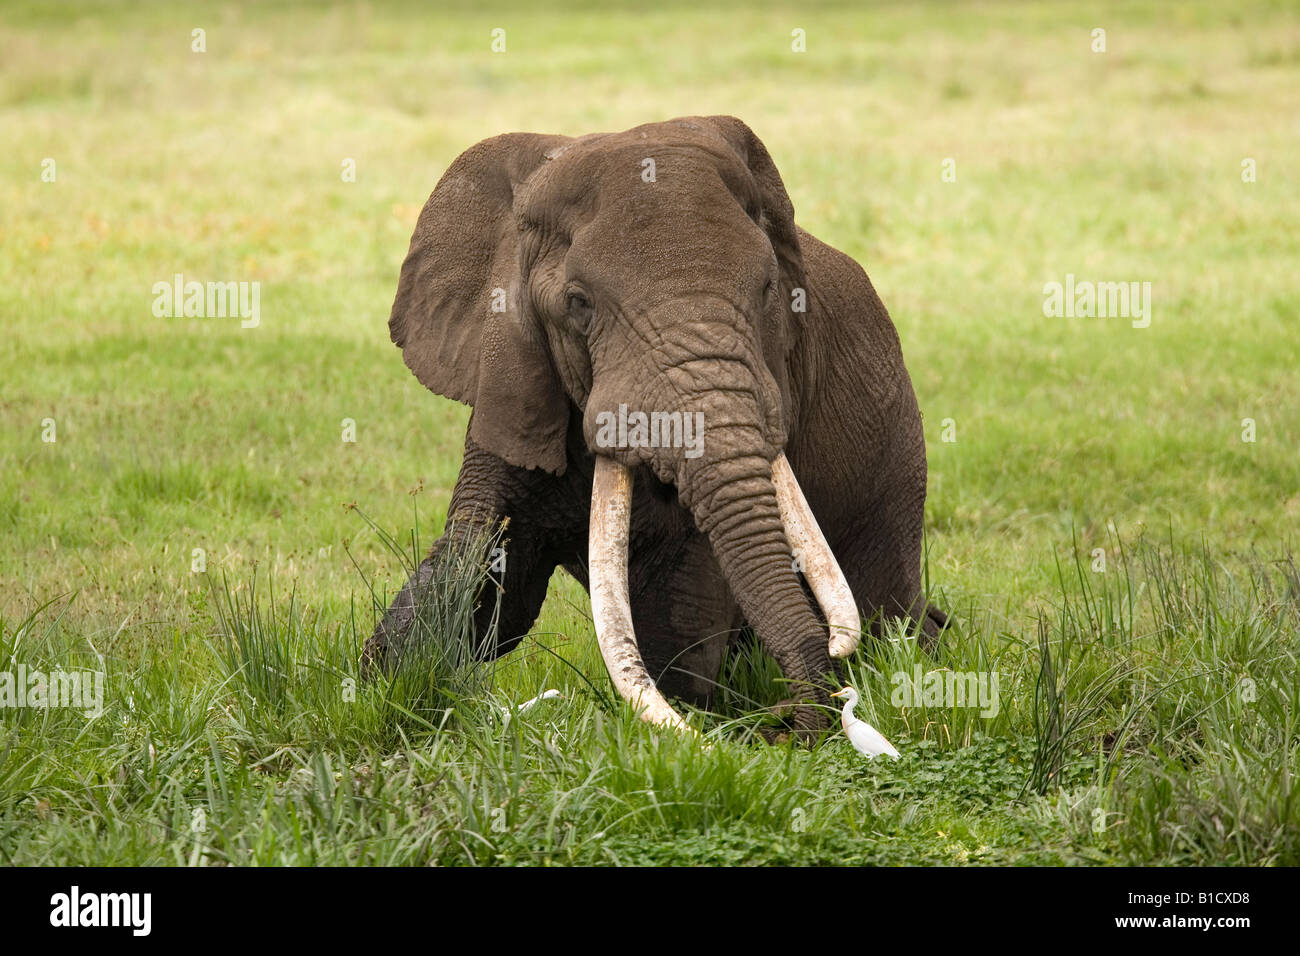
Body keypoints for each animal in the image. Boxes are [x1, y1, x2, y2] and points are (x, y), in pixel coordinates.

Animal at [362, 115, 947, 733]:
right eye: (578, 303)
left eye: (769, 290)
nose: (800, 716)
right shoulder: (509, 378)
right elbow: (482, 573)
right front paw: (386, 679)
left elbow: (679, 612)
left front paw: (691, 717)